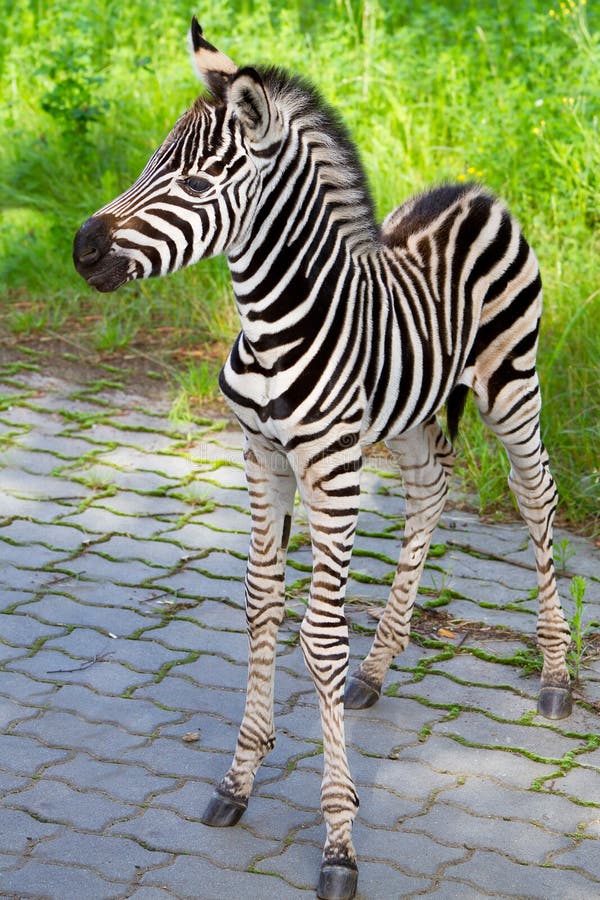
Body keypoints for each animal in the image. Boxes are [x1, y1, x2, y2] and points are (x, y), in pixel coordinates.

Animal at [73, 19, 572, 900]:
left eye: (195, 181)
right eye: (149, 164)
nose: (79, 248)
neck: (276, 325)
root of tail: (473, 188)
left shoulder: (333, 470)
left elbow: (321, 635)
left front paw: (340, 840)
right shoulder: (260, 457)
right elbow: (261, 607)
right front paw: (239, 779)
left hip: (513, 382)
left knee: (536, 494)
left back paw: (554, 674)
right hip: (410, 415)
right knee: (430, 489)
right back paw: (378, 668)